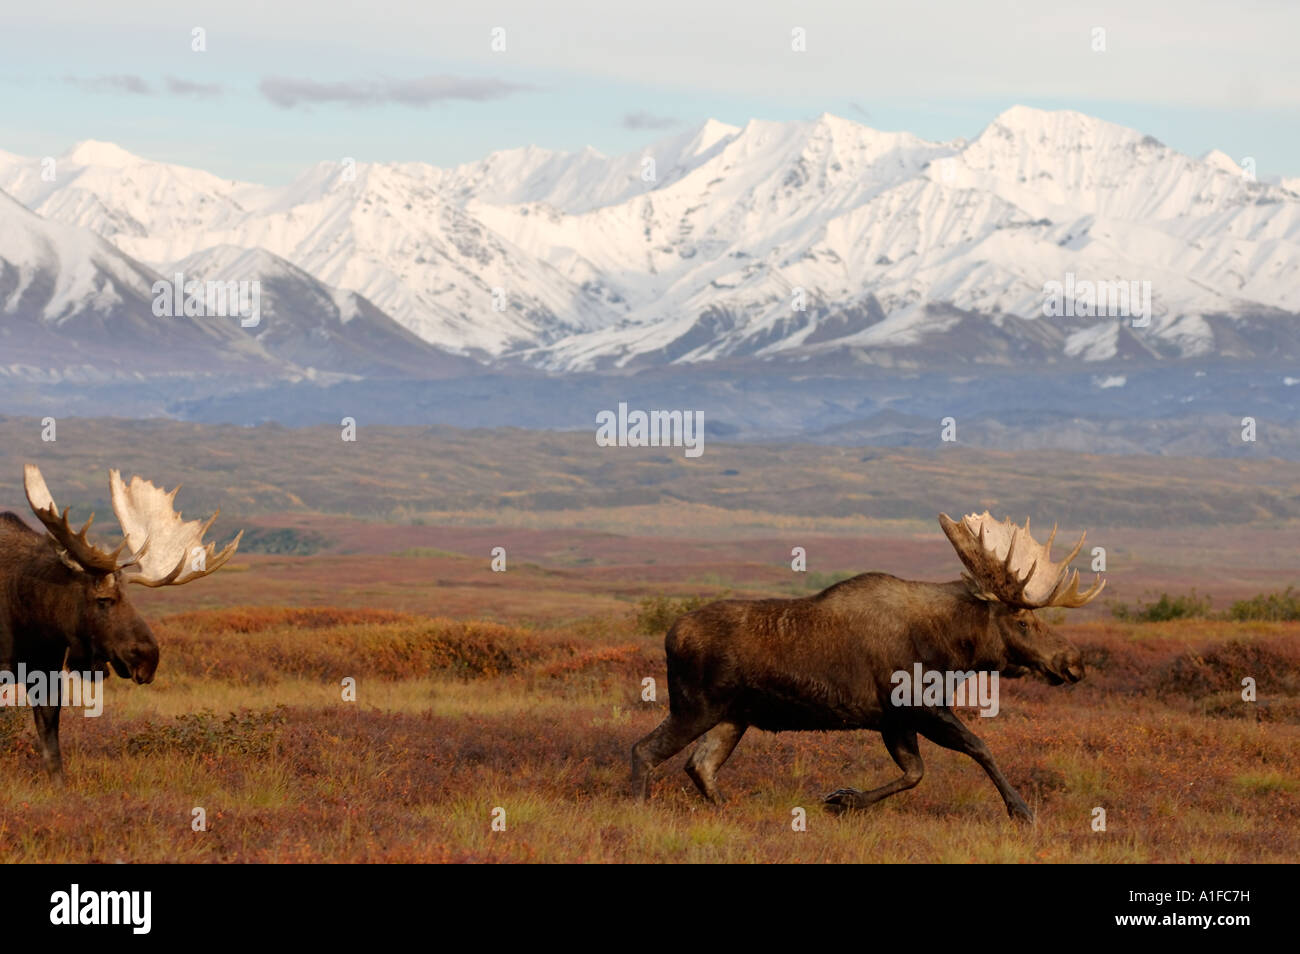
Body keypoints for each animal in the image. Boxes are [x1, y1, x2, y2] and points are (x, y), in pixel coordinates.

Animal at [630, 512, 1104, 822]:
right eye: (1023, 620)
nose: (1073, 663)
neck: (952, 650)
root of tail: (670, 636)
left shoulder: (894, 720)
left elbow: (915, 772)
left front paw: (844, 799)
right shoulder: (917, 706)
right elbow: (978, 747)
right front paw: (1021, 810)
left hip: (734, 717)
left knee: (700, 765)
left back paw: (728, 811)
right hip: (696, 707)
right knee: (645, 750)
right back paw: (639, 808)